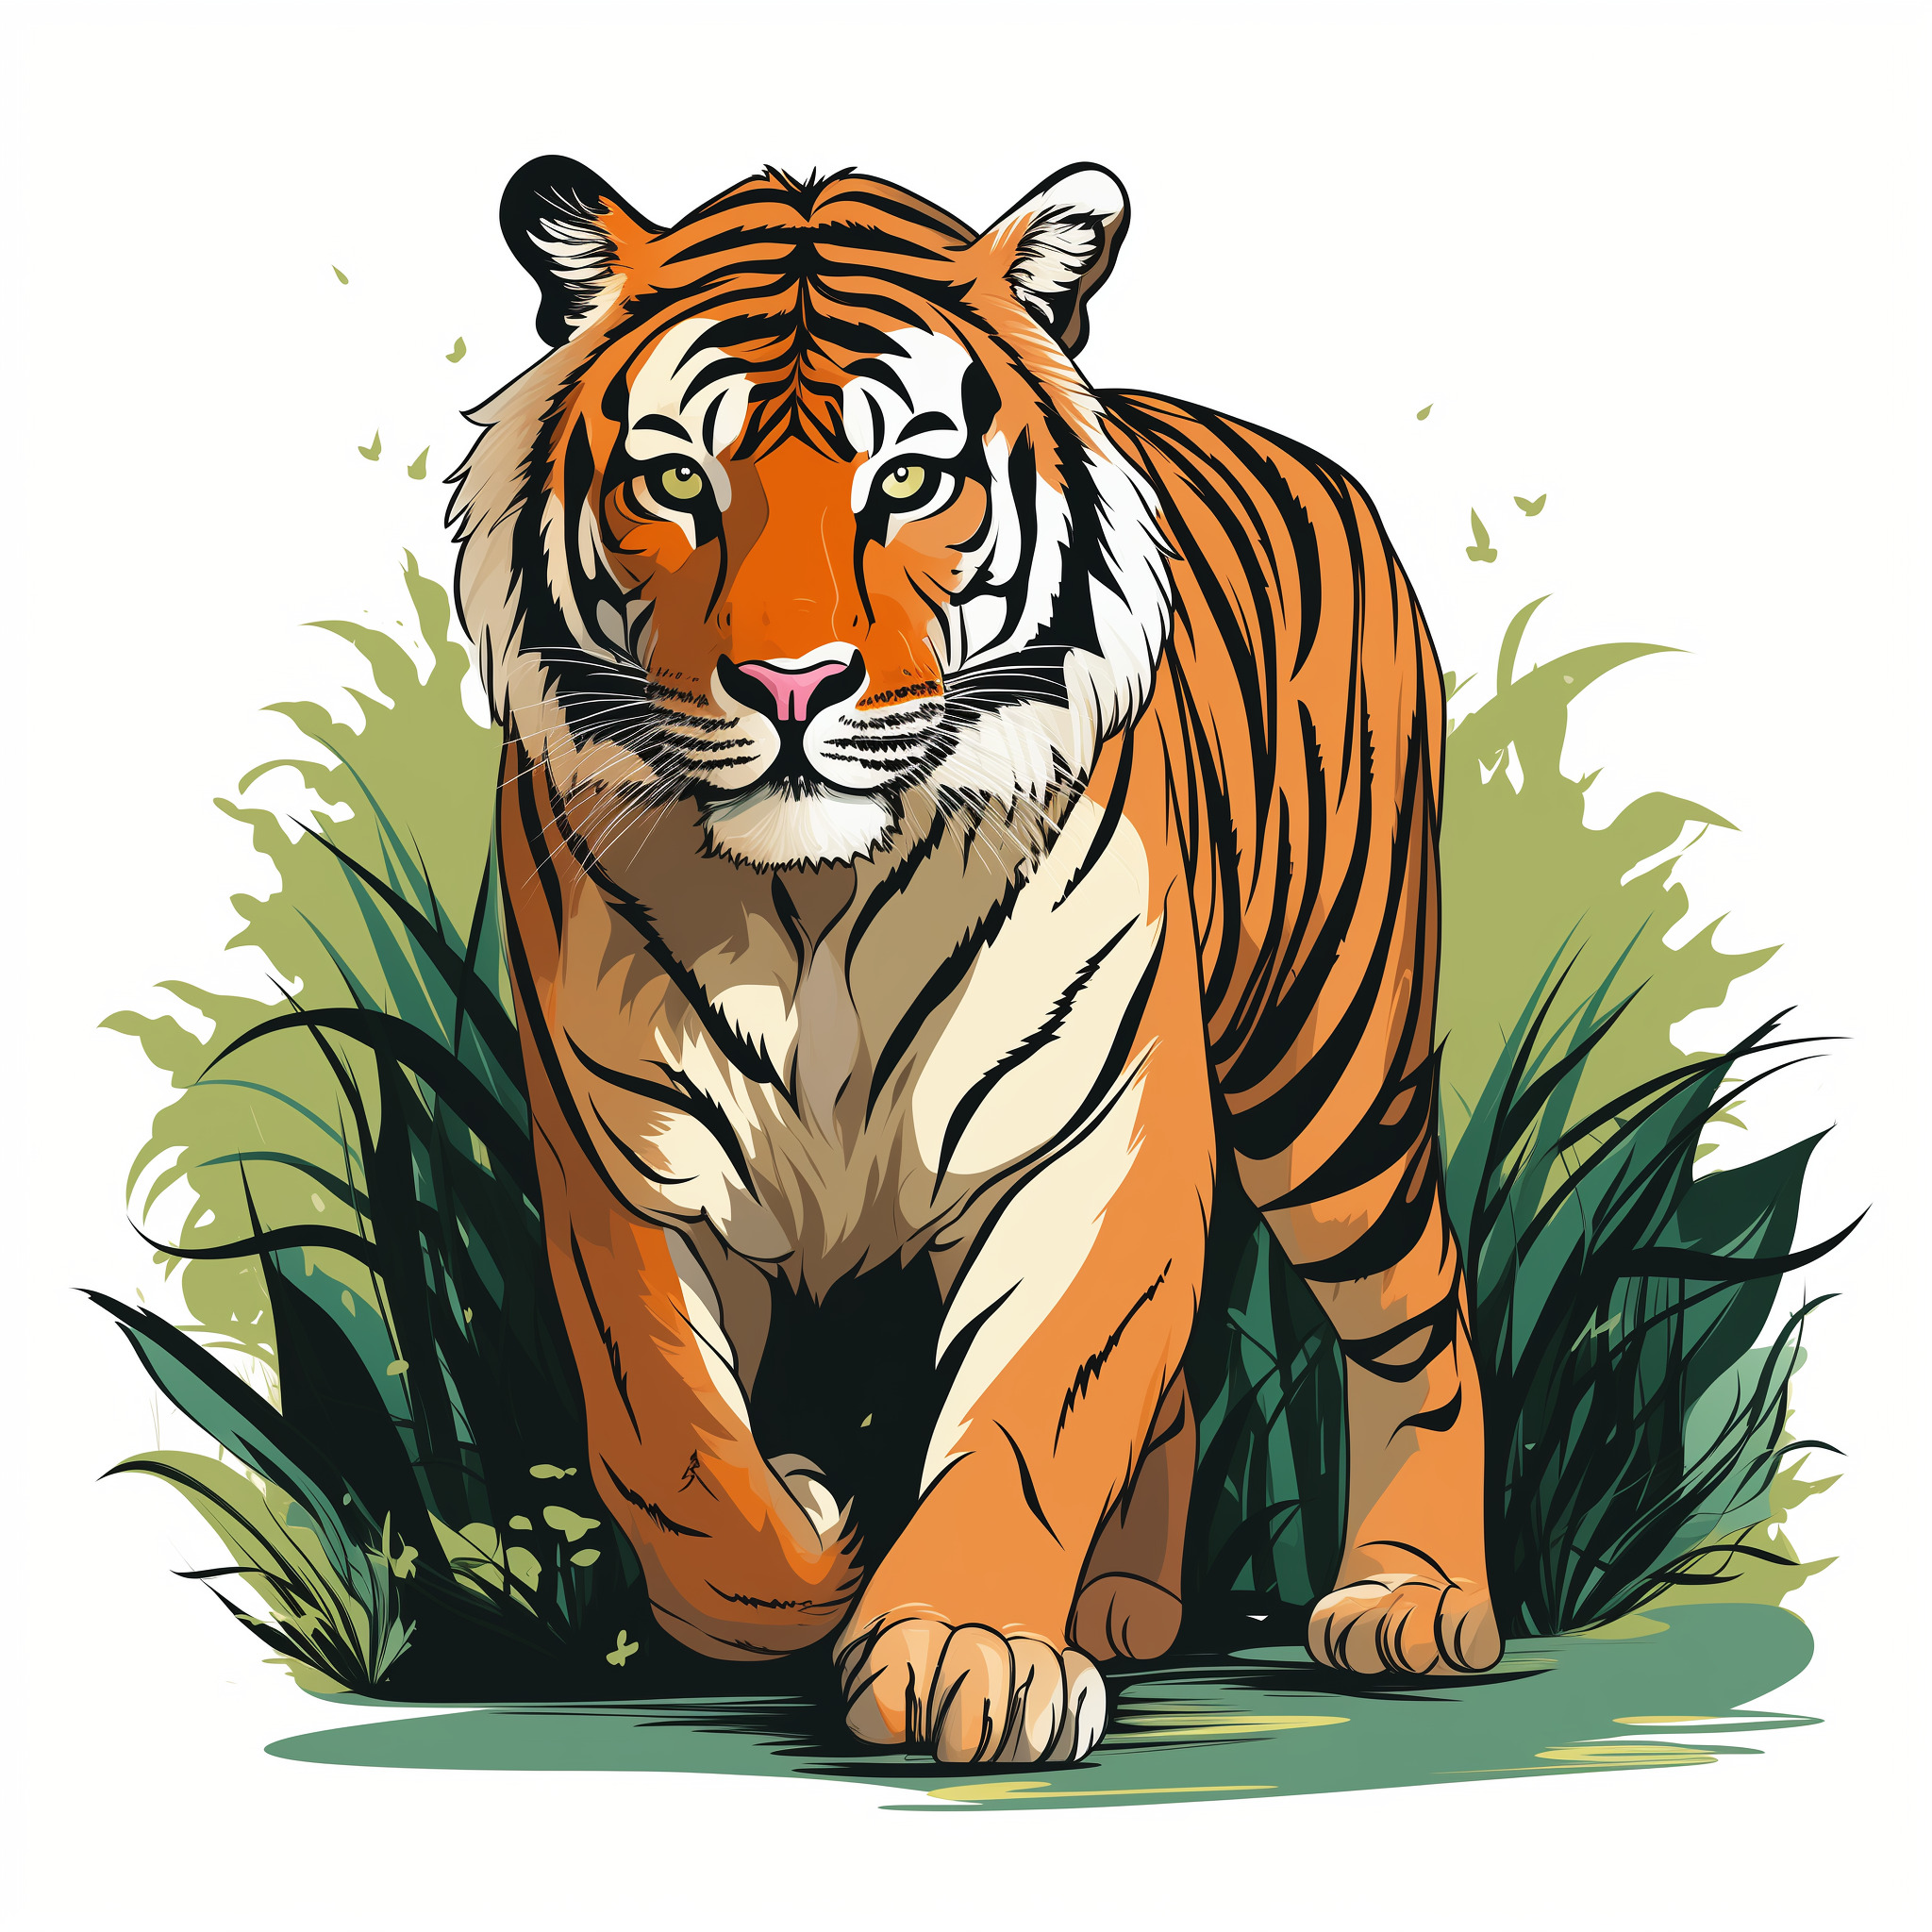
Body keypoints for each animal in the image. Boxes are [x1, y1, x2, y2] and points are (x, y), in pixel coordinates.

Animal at [450, 155, 1500, 1767]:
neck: (812, 903)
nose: (793, 684)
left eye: (909, 482)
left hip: (1333, 1066)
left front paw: (967, 1647)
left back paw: (1414, 1601)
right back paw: (1127, 1607)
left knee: (1420, 1313)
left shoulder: (1093, 1128)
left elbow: (1039, 1401)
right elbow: (673, 1446)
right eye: (680, 483)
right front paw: (813, 1539)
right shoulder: (630, 1161)